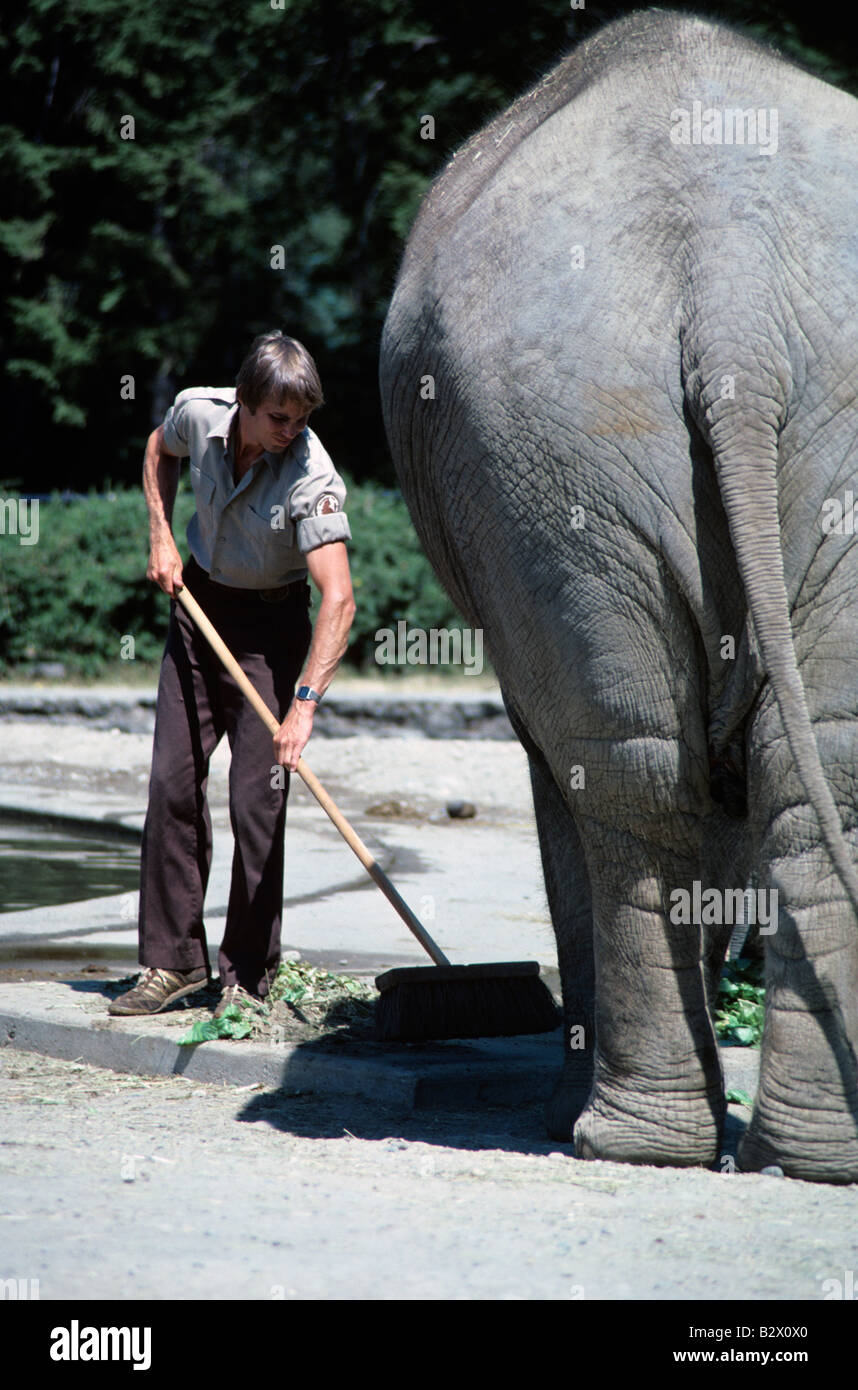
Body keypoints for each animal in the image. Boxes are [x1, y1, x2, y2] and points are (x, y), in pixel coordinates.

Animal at [379, 9, 858, 1183]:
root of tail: (732, 283)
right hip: (608, 436)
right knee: (800, 759)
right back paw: (795, 1153)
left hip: (554, 441)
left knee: (632, 769)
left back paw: (624, 1140)